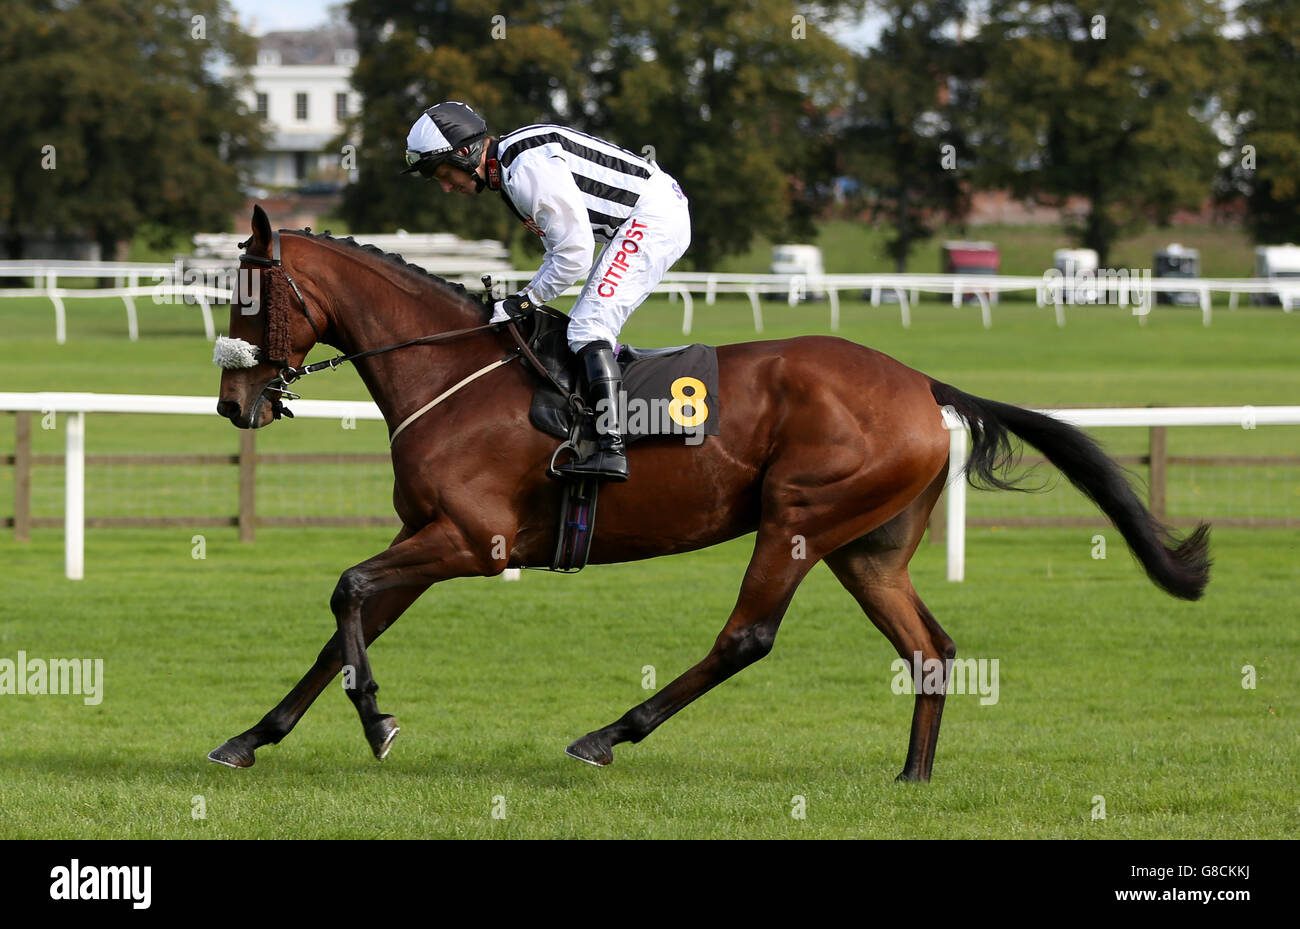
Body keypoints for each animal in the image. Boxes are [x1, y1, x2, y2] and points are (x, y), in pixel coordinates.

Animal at [210, 205, 1210, 782]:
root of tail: (923, 384)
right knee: (932, 648)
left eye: (249, 295)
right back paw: (912, 777)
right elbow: (347, 622)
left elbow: (347, 589)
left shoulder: (472, 540)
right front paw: (251, 737)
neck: (452, 374)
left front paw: (377, 722)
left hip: (800, 519)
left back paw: (610, 733)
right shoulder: (427, 535)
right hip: (868, 547)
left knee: (747, 637)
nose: (231, 402)